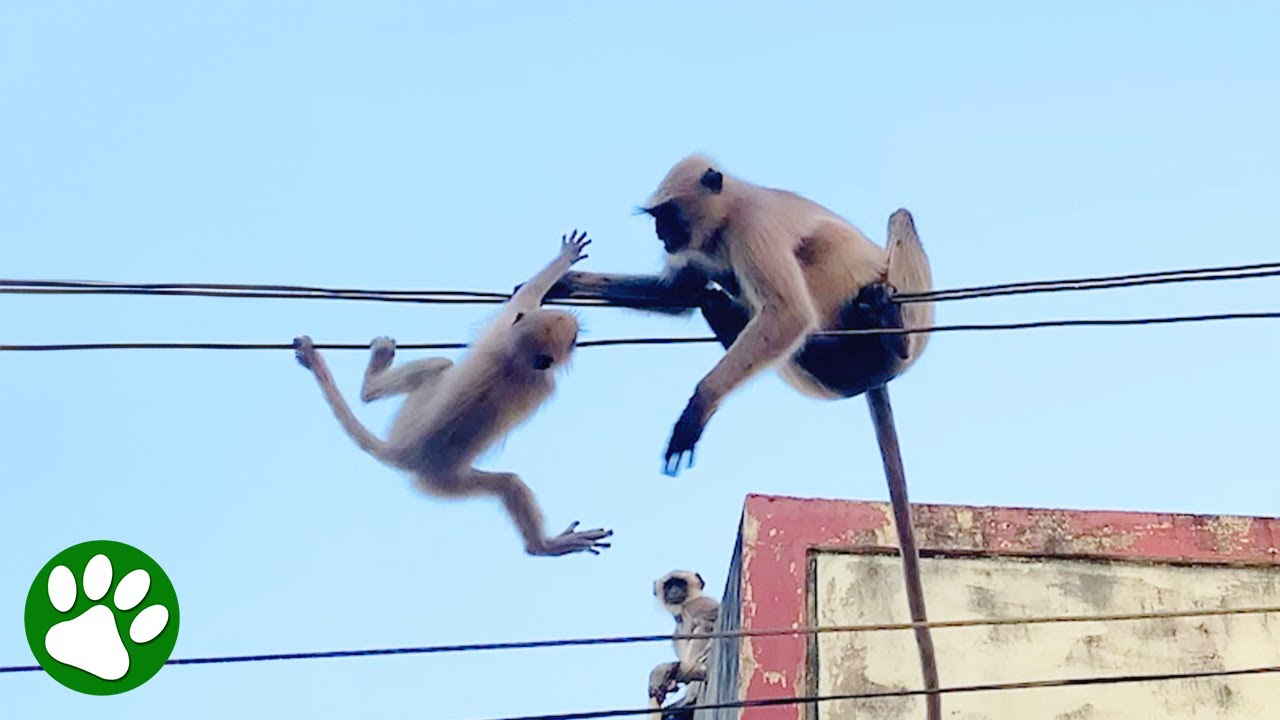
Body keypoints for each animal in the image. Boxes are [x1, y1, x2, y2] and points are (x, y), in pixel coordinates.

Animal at [292, 231, 612, 558]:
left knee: (439, 365)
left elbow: (525, 297)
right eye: (572, 339)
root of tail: (403, 452)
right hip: (444, 481)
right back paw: (545, 545)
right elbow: (527, 297)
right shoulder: (539, 381)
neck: (513, 357)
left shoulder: (504, 331)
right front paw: (564, 259)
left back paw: (370, 387)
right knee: (510, 484)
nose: (578, 327)